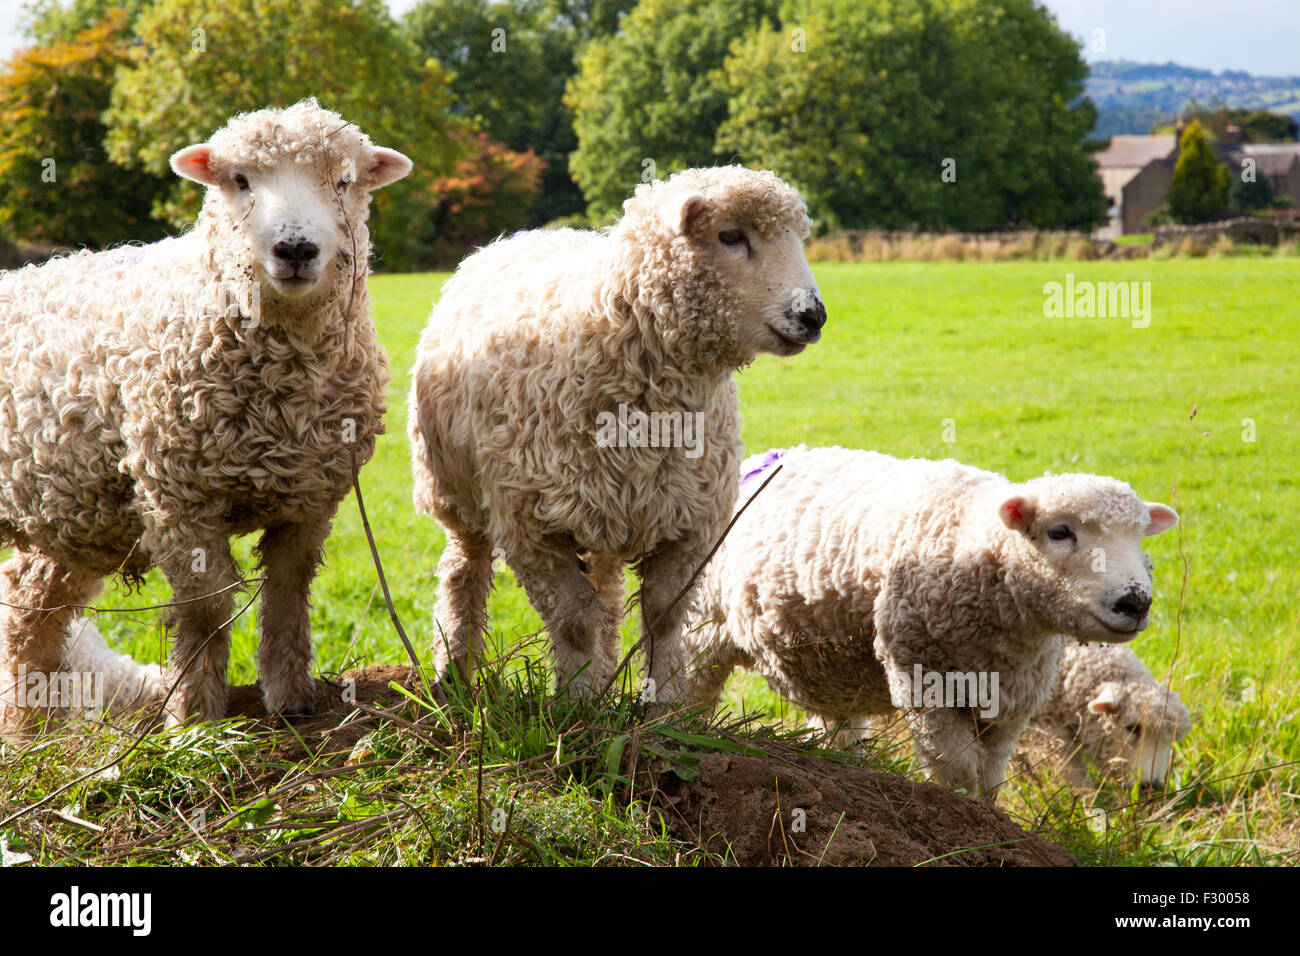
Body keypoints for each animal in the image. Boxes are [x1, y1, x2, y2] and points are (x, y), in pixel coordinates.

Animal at [0, 99, 412, 738]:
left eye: (344, 181)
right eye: (239, 180)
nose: (295, 249)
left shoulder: (311, 499)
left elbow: (288, 593)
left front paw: (291, 701)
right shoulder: (175, 497)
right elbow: (208, 605)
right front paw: (194, 716)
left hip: (68, 515)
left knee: (29, 606)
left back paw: (31, 732)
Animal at [408, 166, 825, 703]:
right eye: (731, 236)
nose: (813, 315)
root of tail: (521, 236)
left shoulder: (690, 522)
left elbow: (664, 619)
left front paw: (665, 707)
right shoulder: (528, 527)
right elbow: (574, 622)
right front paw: (575, 704)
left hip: (605, 507)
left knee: (605, 592)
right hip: (454, 489)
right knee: (465, 571)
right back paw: (455, 674)